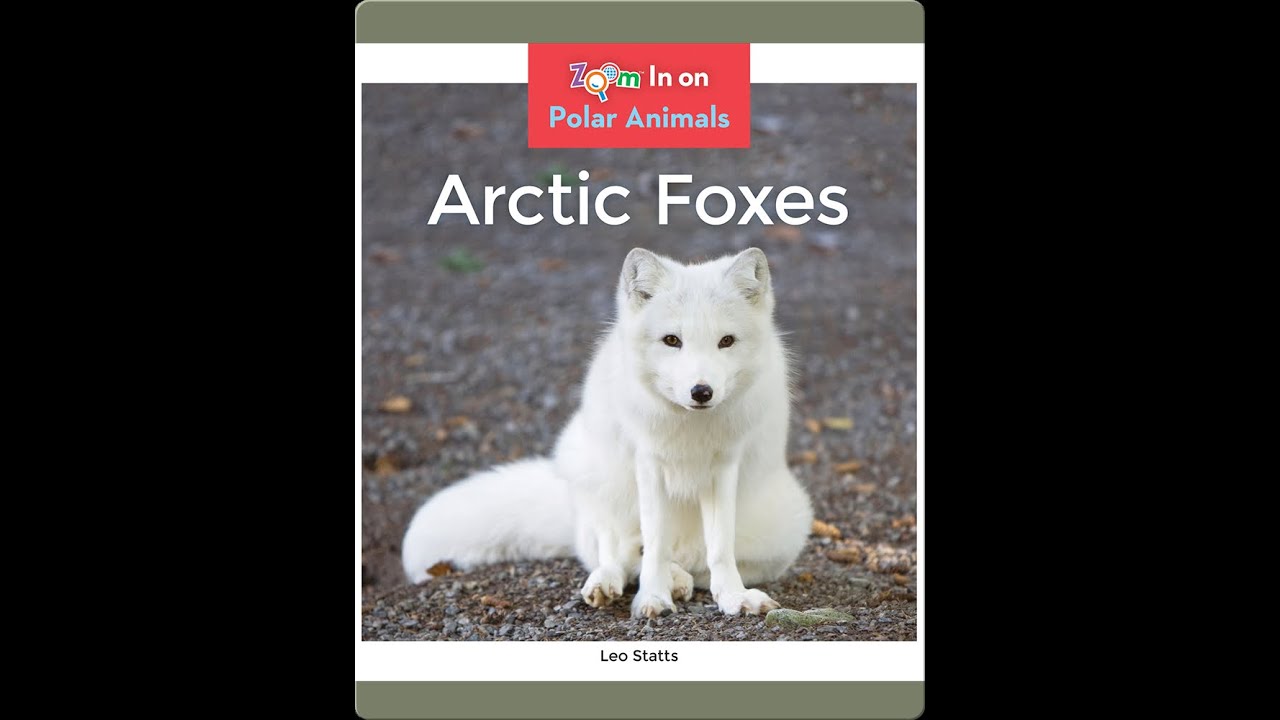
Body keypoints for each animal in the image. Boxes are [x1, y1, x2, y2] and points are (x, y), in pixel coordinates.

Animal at [401, 247, 814, 618]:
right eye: (672, 340)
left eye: (726, 341)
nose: (701, 392)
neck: (689, 430)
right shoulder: (648, 464)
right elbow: (654, 543)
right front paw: (652, 598)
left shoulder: (725, 466)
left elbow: (720, 548)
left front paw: (732, 597)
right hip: (599, 481)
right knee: (617, 552)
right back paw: (614, 583)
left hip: (785, 527)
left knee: (691, 565)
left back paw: (681, 579)